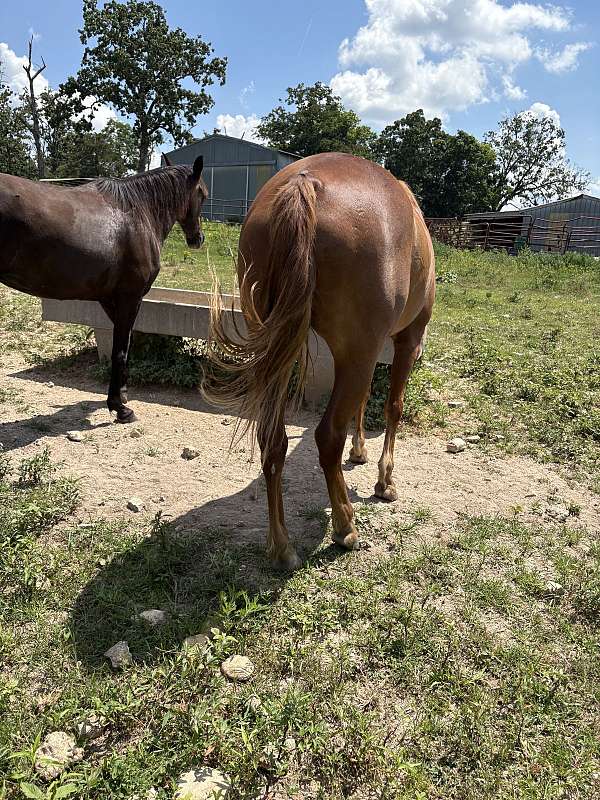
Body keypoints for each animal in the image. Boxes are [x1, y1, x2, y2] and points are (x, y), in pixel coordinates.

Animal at [0, 156, 207, 422]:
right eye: (202, 194)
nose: (198, 239)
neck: (138, 214)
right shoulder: (130, 298)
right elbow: (119, 349)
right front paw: (120, 407)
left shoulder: (108, 299)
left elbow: (126, 344)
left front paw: (123, 394)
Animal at [205, 152, 435, 570]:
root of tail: (306, 182)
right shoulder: (404, 341)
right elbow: (393, 407)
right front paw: (385, 480)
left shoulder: (367, 350)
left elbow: (364, 401)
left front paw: (359, 451)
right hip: (356, 352)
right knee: (327, 436)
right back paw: (345, 526)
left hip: (282, 350)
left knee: (272, 440)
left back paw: (281, 546)